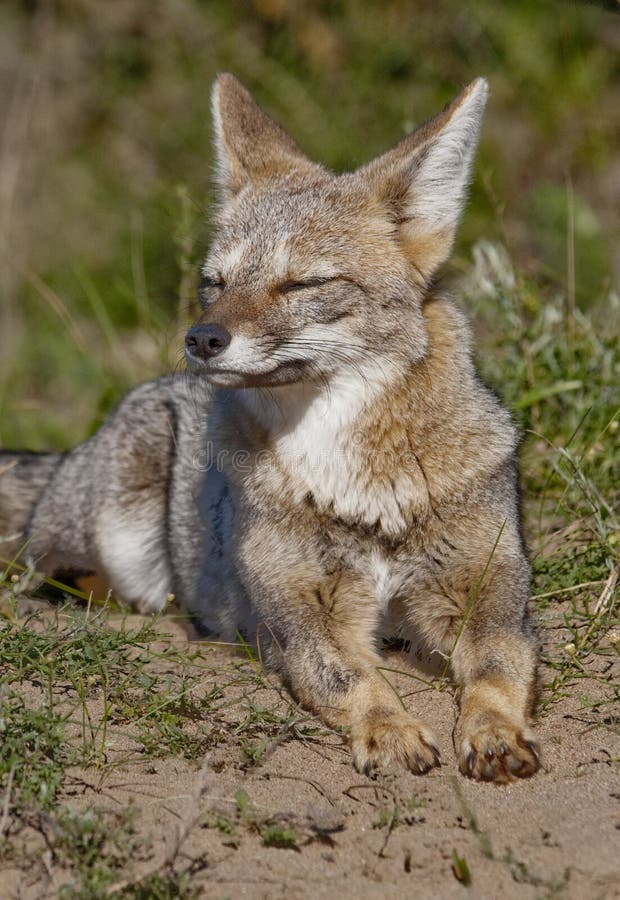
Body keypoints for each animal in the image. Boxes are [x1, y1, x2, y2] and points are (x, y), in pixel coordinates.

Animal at [0, 74, 541, 782]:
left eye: (301, 283)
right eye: (215, 283)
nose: (202, 339)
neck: (359, 486)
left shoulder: (486, 591)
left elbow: (498, 669)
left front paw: (494, 732)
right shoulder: (303, 611)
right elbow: (349, 677)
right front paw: (390, 730)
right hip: (112, 531)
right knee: (46, 574)